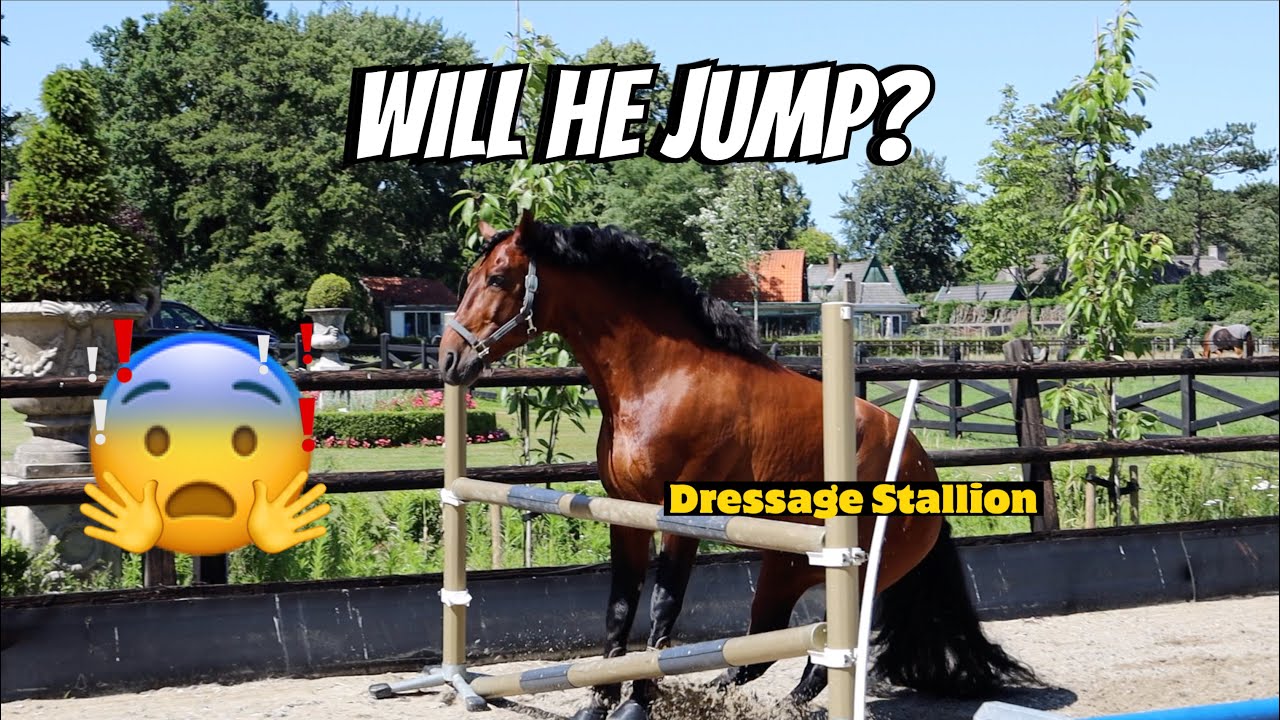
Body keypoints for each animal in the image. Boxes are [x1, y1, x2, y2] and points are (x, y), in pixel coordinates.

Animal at [440, 212, 1036, 720]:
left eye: (498, 278)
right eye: (467, 278)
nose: (450, 359)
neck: (662, 377)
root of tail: (923, 470)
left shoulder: (678, 519)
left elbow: (663, 607)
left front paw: (638, 701)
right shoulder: (625, 515)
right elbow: (619, 608)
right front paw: (598, 700)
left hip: (849, 571)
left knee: (819, 654)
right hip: (785, 567)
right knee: (765, 651)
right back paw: (722, 691)